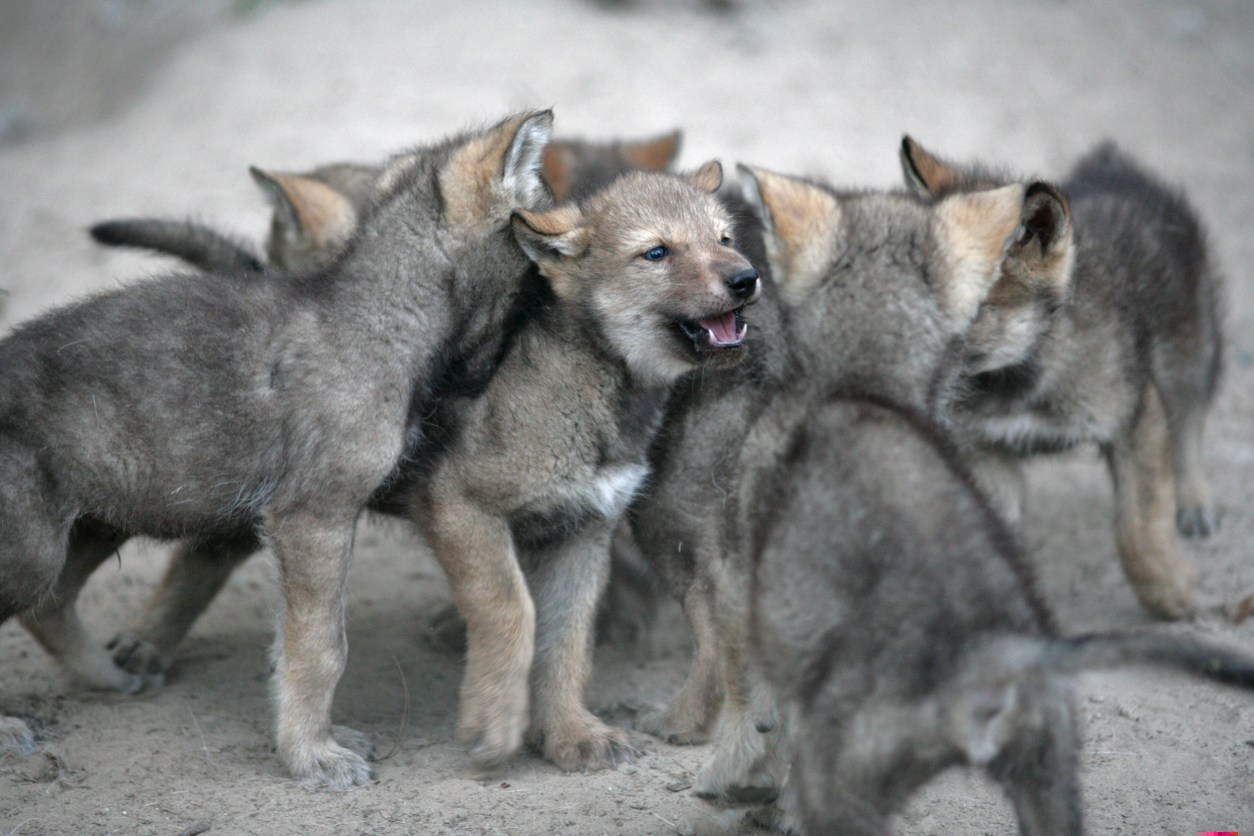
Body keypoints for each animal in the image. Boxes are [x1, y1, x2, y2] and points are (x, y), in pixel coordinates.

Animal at [0, 110, 557, 785]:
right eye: (538, 253)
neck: (376, 321)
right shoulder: (312, 517)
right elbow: (322, 647)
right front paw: (312, 756)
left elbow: (292, 644)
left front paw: (311, 739)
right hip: (34, 547)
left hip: (95, 520)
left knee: (49, 606)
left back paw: (110, 676)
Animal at [899, 137, 1225, 619]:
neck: (1016, 375)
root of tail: (1115, 165)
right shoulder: (984, 449)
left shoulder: (1136, 416)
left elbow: (1138, 526)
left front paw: (1170, 591)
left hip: (1194, 351)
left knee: (1189, 427)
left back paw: (1196, 502)